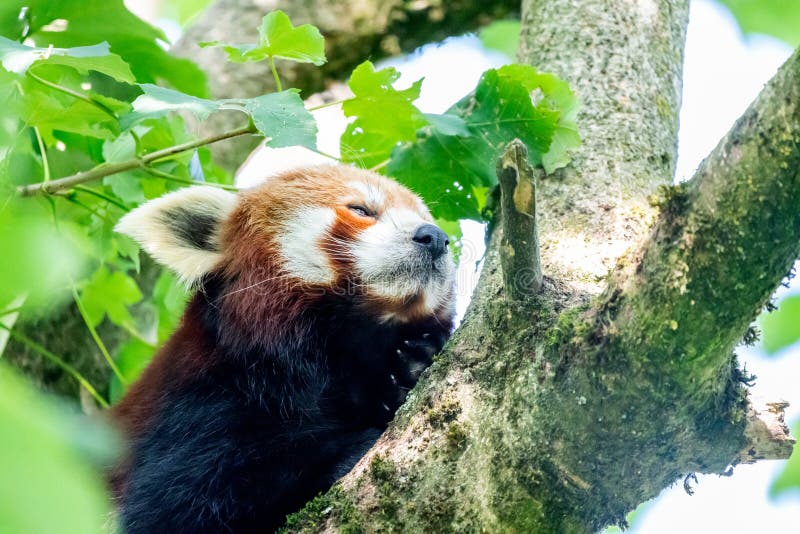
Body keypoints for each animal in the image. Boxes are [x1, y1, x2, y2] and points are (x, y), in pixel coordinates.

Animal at [110, 164, 456, 533]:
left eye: (425, 218)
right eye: (362, 210)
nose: (435, 236)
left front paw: (414, 366)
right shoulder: (199, 399)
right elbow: (173, 505)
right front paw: (347, 452)